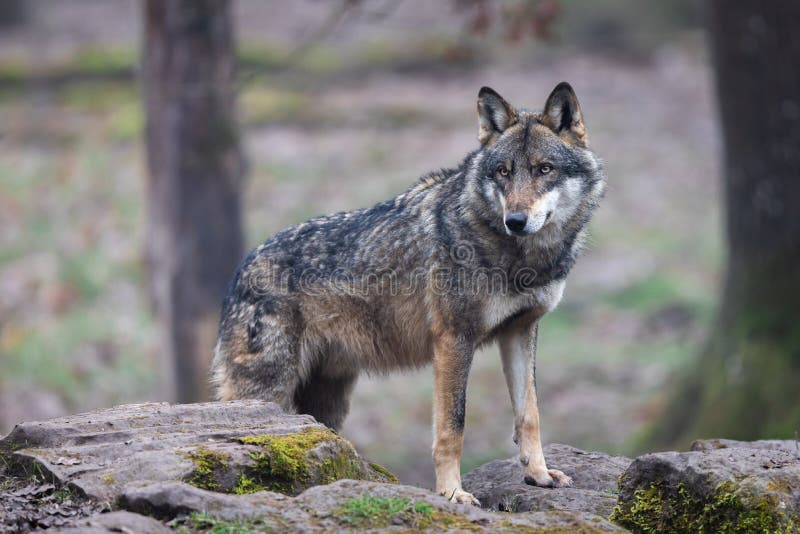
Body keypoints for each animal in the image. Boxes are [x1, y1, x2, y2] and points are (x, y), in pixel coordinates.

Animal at [212, 82, 606, 505]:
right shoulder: (453, 339)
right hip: (269, 392)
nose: (515, 221)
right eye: (504, 172)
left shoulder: (520, 331)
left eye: (543, 169)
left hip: (327, 402)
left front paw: (539, 474)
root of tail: (241, 268)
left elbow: (529, 413)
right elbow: (452, 426)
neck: (522, 258)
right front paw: (452, 493)